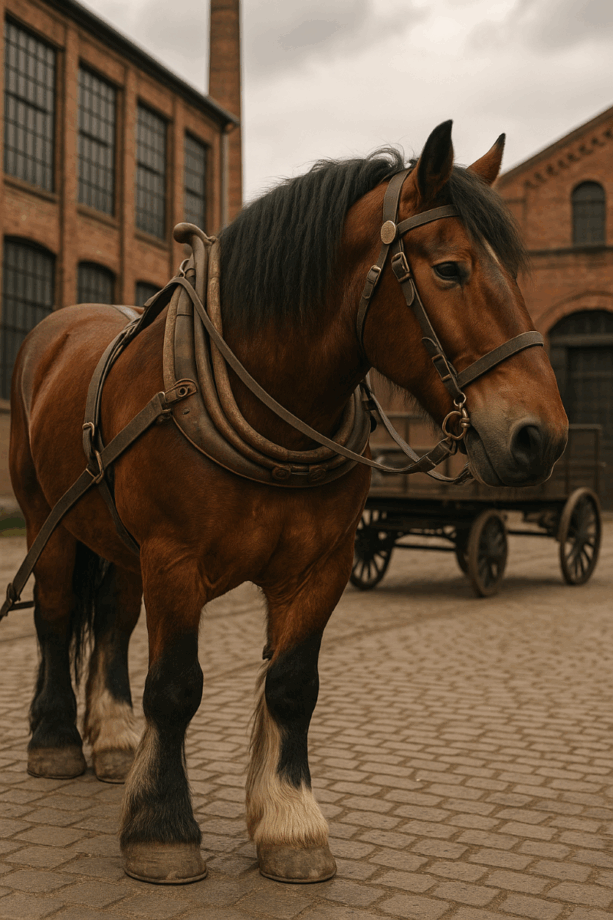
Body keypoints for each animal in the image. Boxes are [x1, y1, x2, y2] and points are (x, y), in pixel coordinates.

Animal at [7, 121, 568, 885]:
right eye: (450, 269)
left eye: (512, 271)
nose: (541, 436)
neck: (265, 395)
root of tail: (57, 329)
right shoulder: (174, 561)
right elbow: (176, 687)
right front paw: (161, 829)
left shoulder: (321, 565)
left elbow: (293, 685)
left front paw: (290, 824)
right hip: (50, 520)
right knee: (58, 617)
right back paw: (57, 740)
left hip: (115, 538)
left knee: (114, 625)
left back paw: (116, 740)